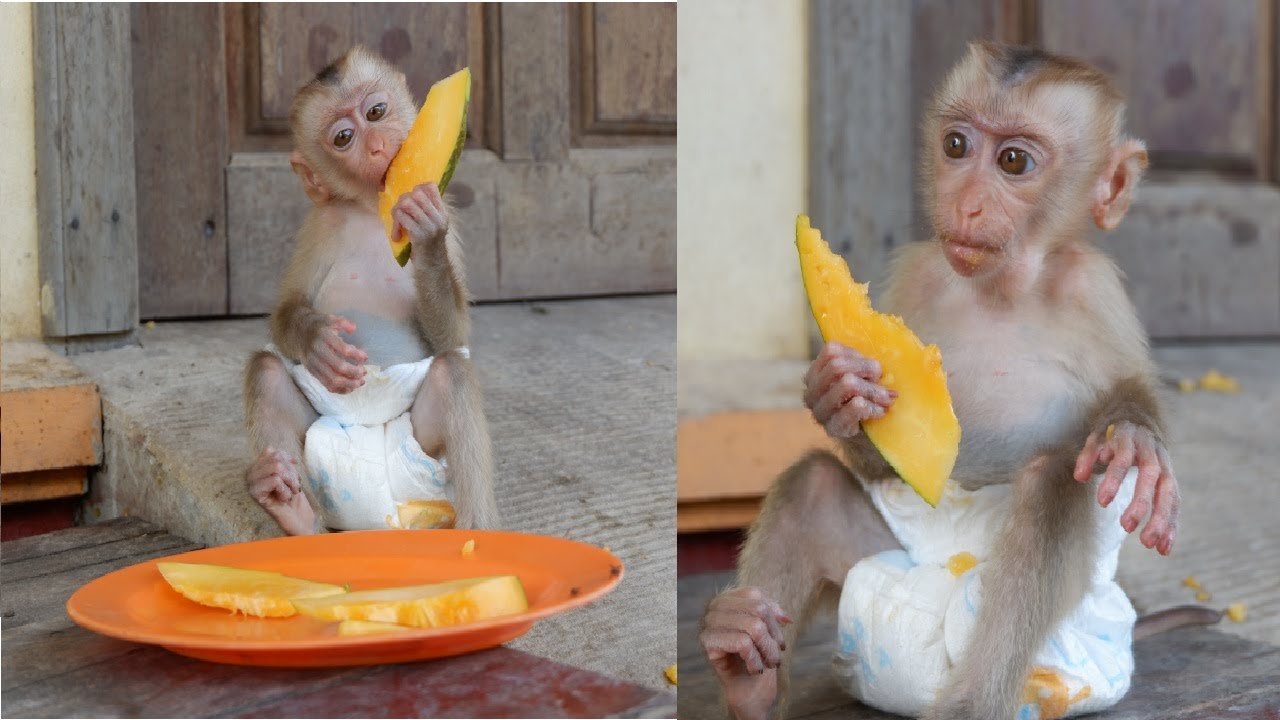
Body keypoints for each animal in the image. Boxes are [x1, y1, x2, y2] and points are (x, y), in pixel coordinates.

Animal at [242, 46, 499, 535]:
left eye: (376, 112)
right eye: (344, 137)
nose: (378, 146)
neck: (370, 210)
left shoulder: (452, 218)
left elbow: (451, 335)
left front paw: (426, 238)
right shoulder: (319, 224)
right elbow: (288, 306)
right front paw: (317, 341)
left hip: (419, 469)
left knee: (453, 373)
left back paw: (479, 532)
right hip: (321, 453)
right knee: (266, 370)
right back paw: (292, 513)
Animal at [699, 42, 1186, 720]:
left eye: (1013, 161)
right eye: (956, 146)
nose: (966, 205)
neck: (1003, 287)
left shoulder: (1093, 290)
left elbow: (1124, 394)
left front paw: (1135, 436)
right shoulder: (916, 272)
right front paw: (837, 394)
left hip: (1075, 649)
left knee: (1055, 485)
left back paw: (972, 698)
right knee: (812, 487)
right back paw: (749, 681)